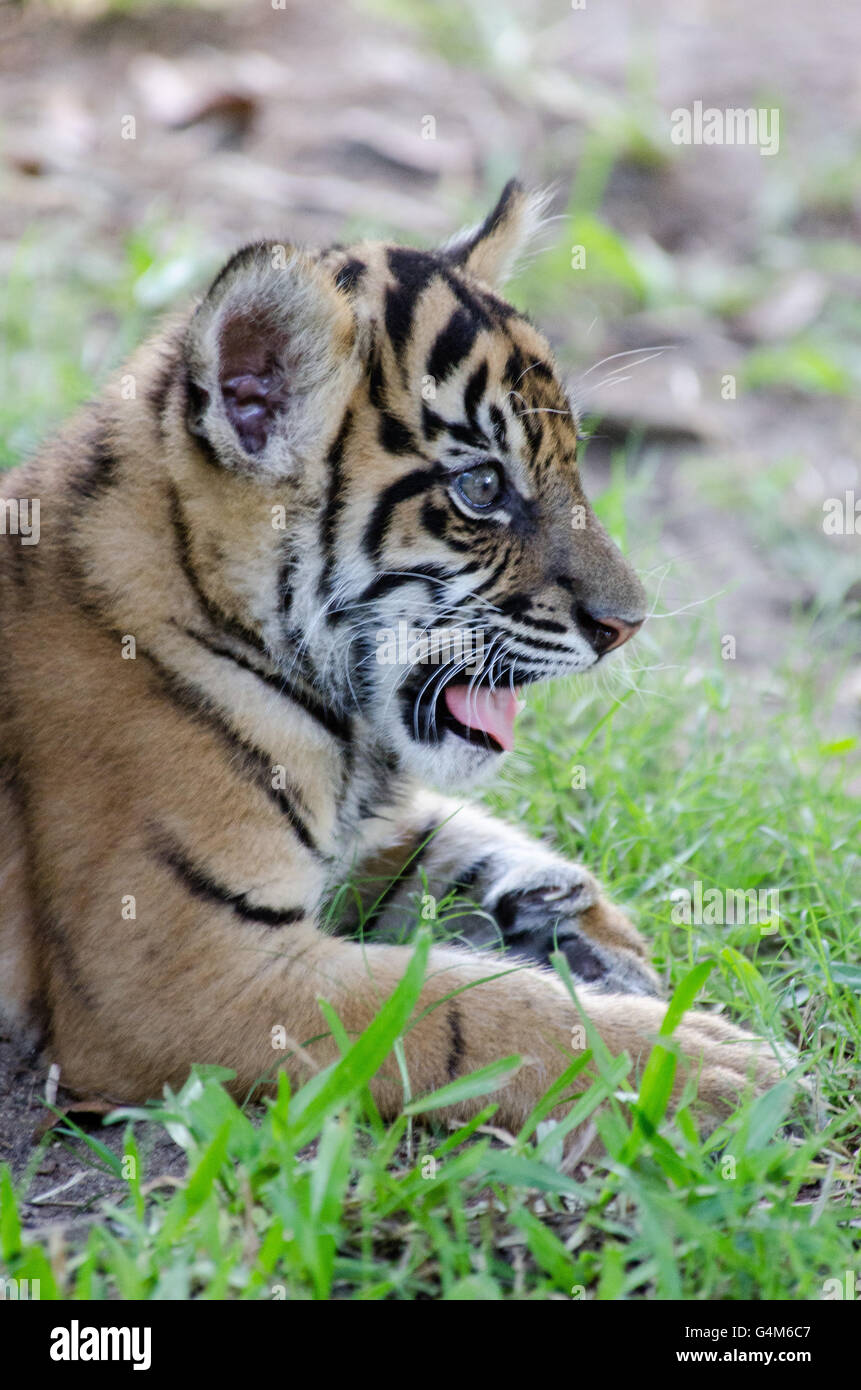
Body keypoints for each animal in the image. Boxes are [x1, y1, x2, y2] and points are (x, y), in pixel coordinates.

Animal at [0, 181, 781, 1147]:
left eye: (574, 465)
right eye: (481, 488)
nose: (627, 625)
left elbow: (458, 833)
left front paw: (592, 926)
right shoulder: (178, 973)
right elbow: (460, 1007)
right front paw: (694, 1062)